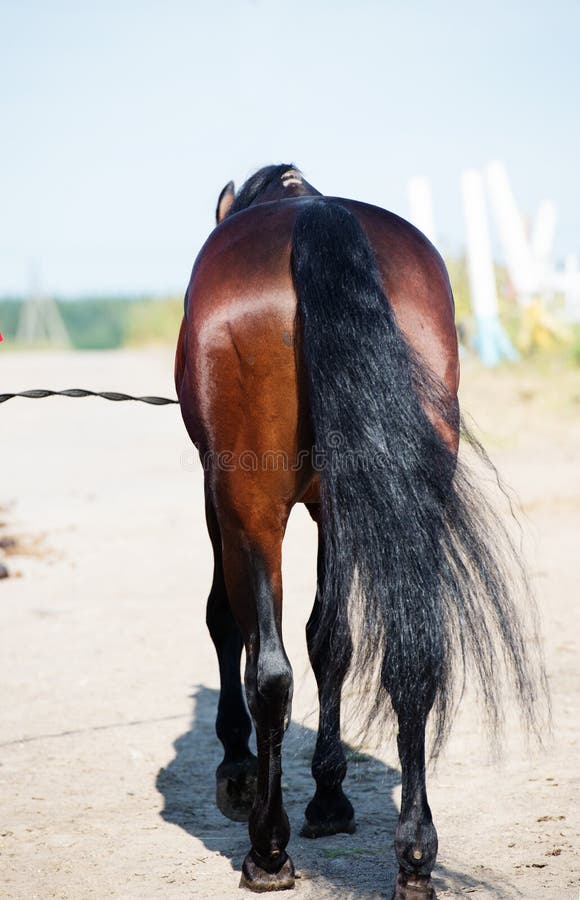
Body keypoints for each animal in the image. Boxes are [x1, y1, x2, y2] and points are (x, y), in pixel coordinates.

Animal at [174, 164, 545, 898]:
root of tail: (315, 217)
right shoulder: (338, 508)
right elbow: (333, 639)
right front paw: (330, 796)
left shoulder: (217, 495)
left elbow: (230, 621)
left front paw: (237, 769)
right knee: (412, 654)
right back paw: (414, 856)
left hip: (250, 501)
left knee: (270, 671)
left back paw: (268, 849)